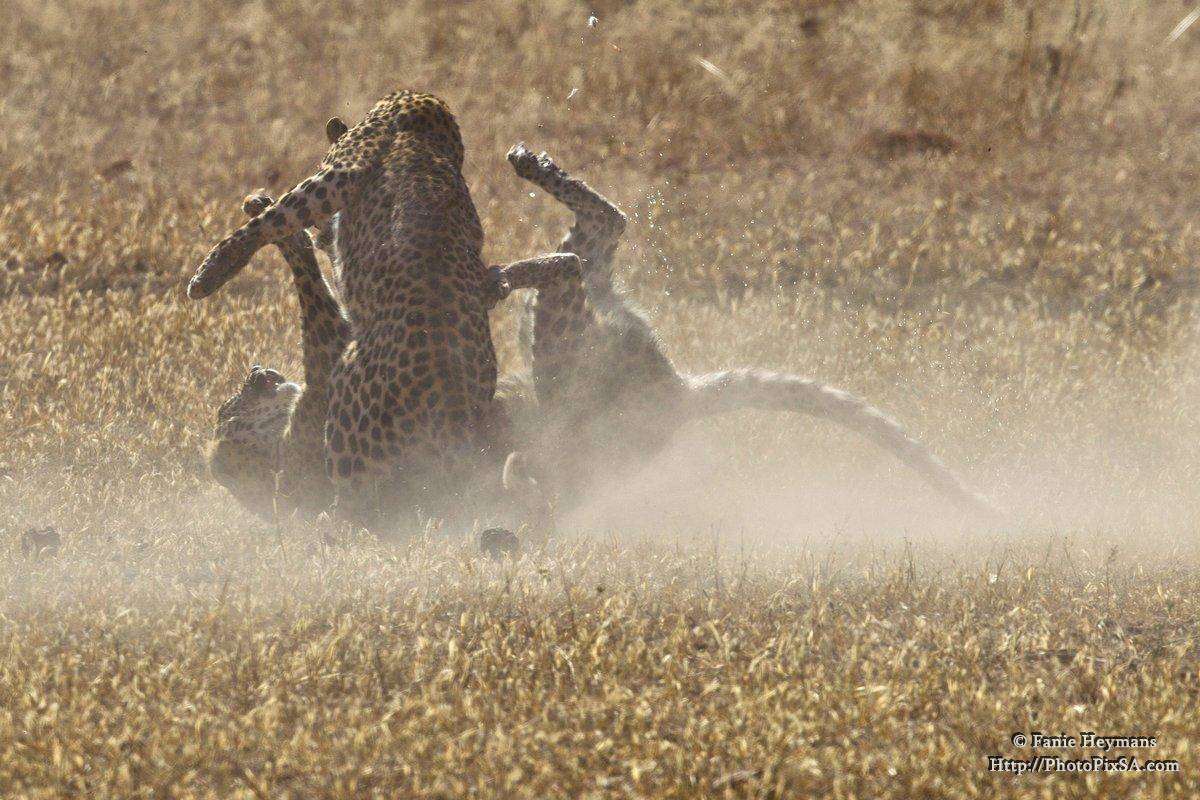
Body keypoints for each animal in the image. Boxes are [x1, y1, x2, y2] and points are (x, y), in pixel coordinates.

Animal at [500, 144, 1000, 519]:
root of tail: (678, 391)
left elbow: (532, 490)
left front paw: (519, 478)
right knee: (599, 233)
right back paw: (532, 171)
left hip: (565, 355)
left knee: (580, 253)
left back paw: (505, 269)